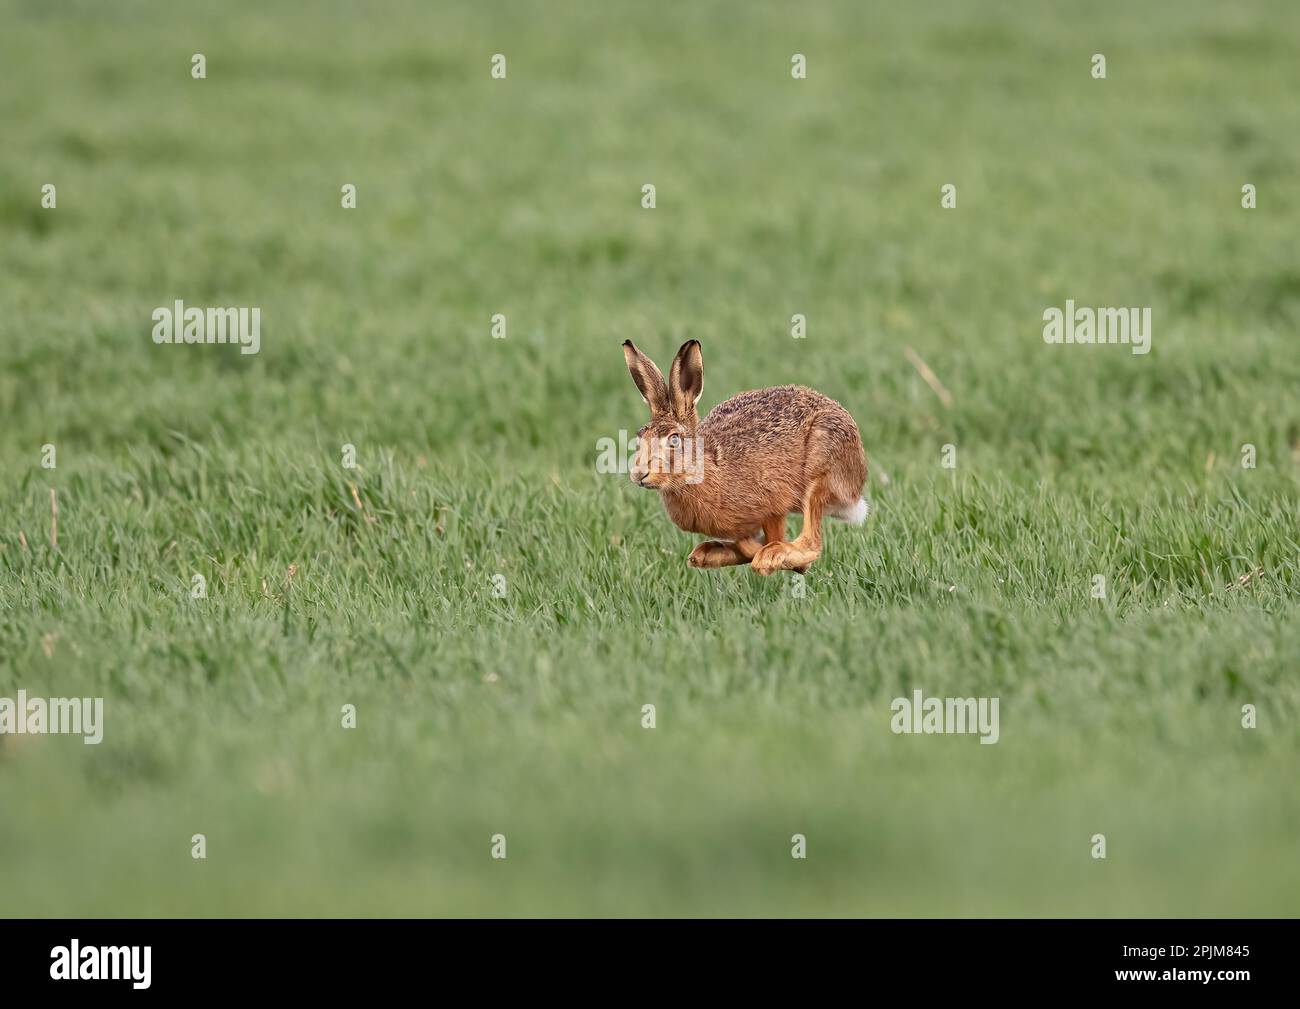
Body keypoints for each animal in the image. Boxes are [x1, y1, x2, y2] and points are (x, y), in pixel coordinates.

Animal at [622, 339, 868, 574]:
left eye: (674, 440)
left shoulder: (772, 499)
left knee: (812, 541)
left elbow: (769, 539)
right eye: (639, 437)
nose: (639, 474)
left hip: (821, 467)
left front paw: (773, 558)